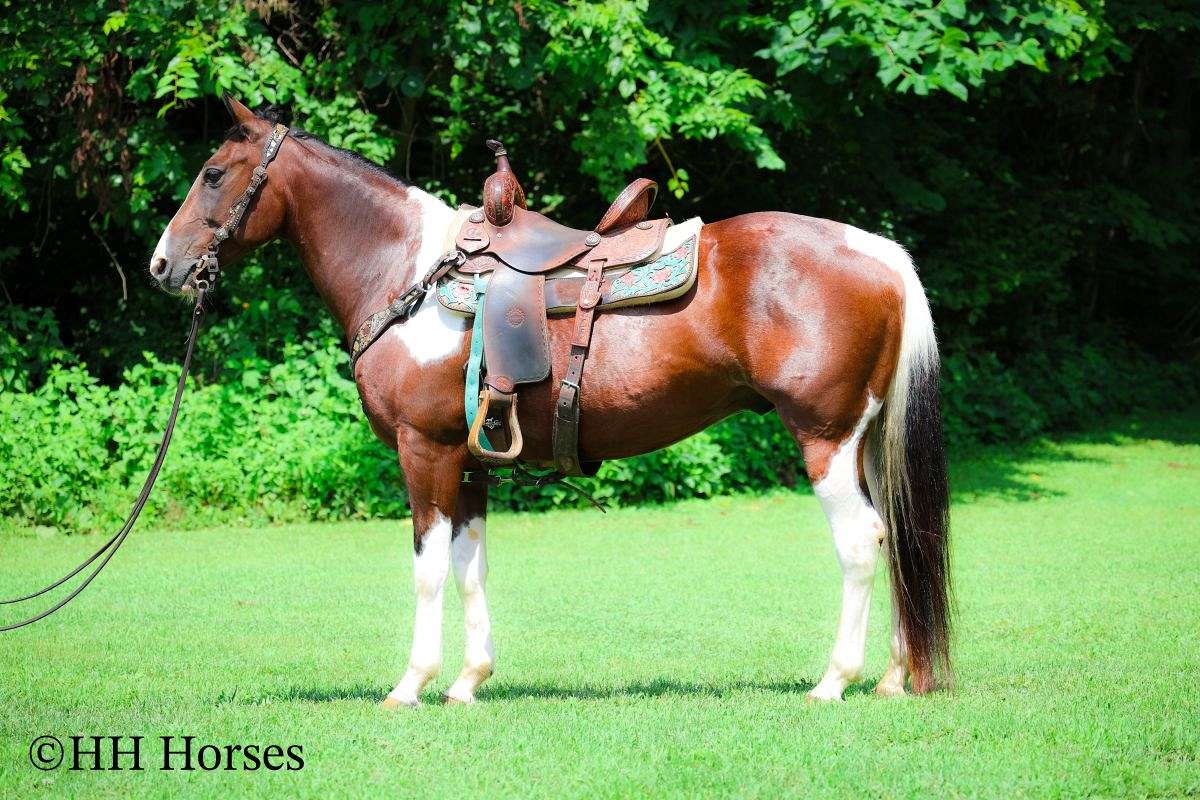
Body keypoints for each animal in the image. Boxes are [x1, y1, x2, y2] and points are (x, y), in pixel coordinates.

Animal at [149, 96, 950, 705]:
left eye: (213, 174)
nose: (163, 265)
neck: (407, 274)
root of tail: (879, 253)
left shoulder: (425, 452)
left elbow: (428, 566)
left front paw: (411, 685)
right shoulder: (469, 463)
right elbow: (469, 565)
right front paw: (467, 682)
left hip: (826, 440)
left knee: (861, 542)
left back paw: (834, 681)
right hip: (867, 445)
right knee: (895, 535)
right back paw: (891, 677)